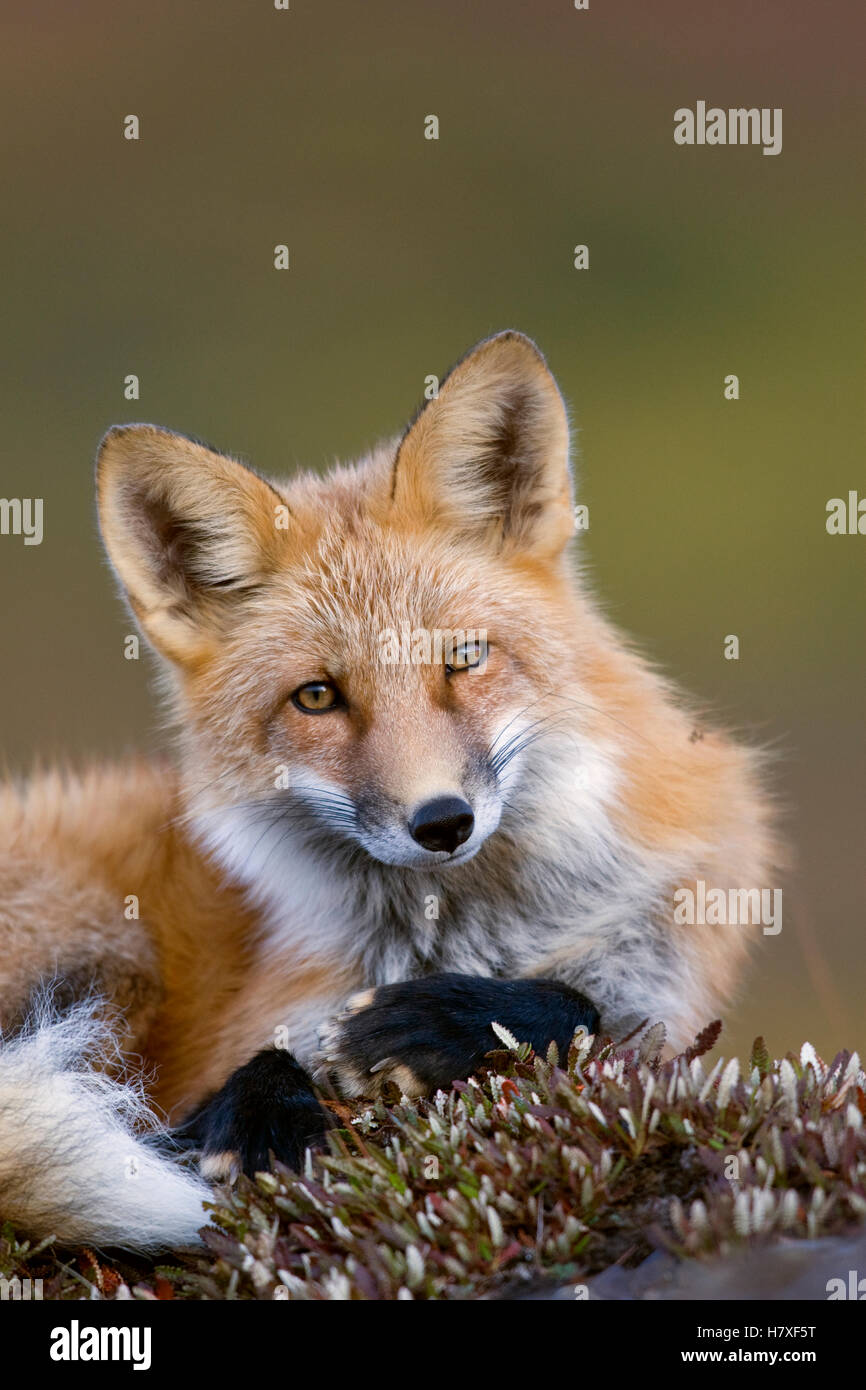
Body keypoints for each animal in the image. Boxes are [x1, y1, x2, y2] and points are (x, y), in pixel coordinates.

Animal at [0, 331, 777, 1253]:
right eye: (317, 697)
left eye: (465, 658)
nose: (442, 822)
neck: (470, 932)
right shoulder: (239, 1026)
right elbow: (238, 1073)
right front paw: (264, 1121)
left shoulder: (665, 976)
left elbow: (580, 1004)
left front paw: (439, 1022)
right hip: (99, 943)